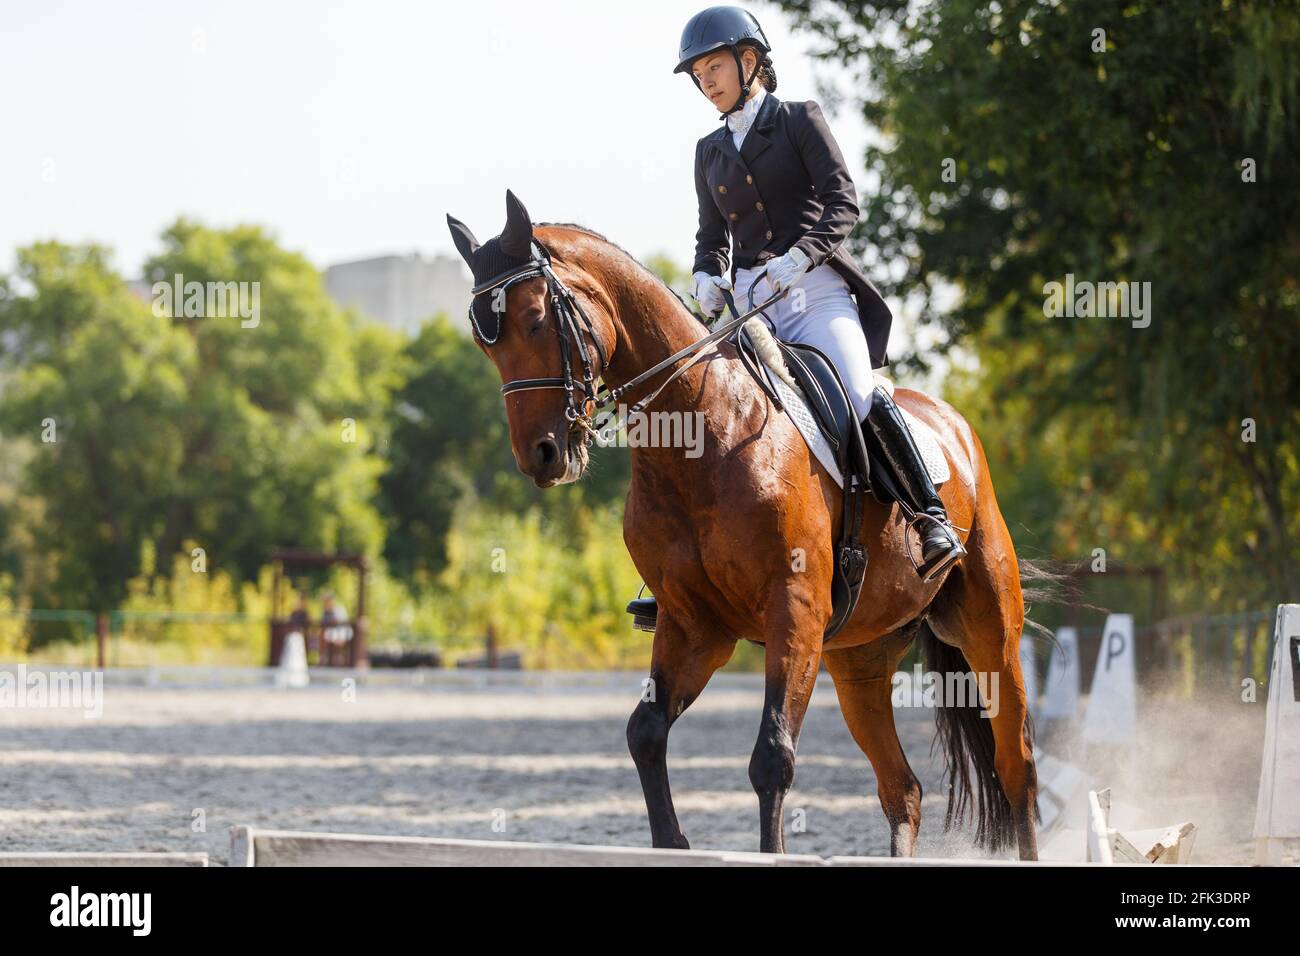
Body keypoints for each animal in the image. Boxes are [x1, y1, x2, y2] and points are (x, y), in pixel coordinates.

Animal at [446, 191, 1039, 859]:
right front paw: (672, 842)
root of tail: (954, 424)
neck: (703, 432)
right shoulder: (694, 624)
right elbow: (644, 732)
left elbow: (771, 758)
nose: (541, 456)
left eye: (535, 320)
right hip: (859, 660)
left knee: (1016, 767)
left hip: (989, 632)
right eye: (484, 345)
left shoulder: (794, 612)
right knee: (903, 790)